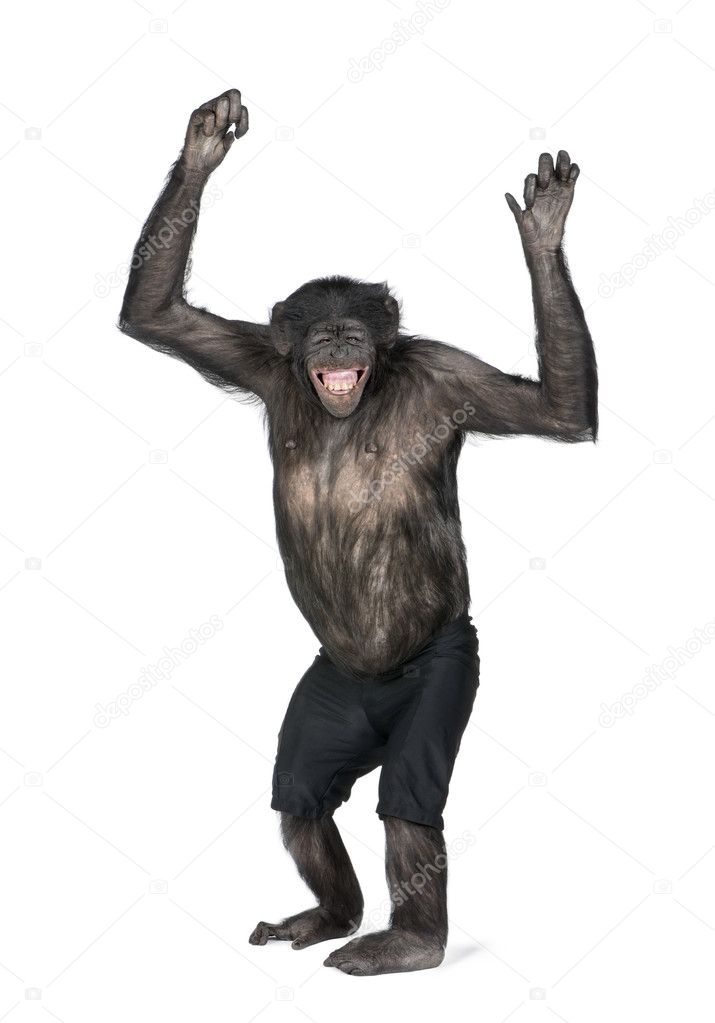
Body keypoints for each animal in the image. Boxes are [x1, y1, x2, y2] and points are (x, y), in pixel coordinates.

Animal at [119, 89, 597, 976]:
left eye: (354, 329)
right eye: (318, 331)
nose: (339, 340)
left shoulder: (451, 379)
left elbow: (555, 410)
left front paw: (543, 234)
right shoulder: (251, 358)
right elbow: (158, 315)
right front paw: (202, 145)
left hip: (438, 672)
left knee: (407, 795)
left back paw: (409, 941)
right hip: (331, 696)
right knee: (301, 794)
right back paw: (329, 913)